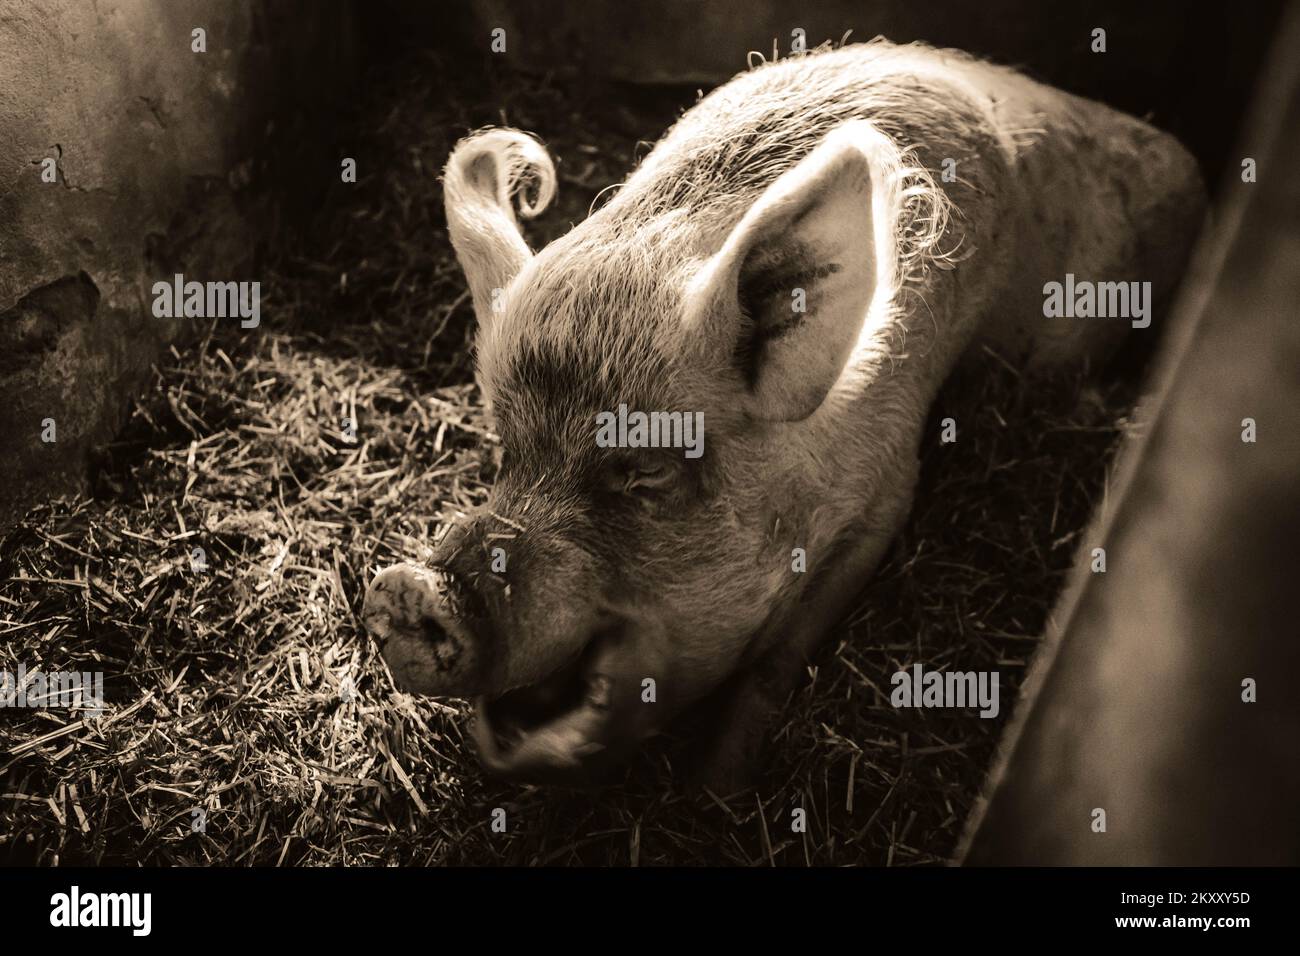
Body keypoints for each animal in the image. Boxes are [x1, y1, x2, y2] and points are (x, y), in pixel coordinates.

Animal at [361, 39, 1205, 789]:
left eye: (645, 469)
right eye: (506, 450)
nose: (409, 589)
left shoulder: (890, 489)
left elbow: (777, 658)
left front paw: (717, 791)